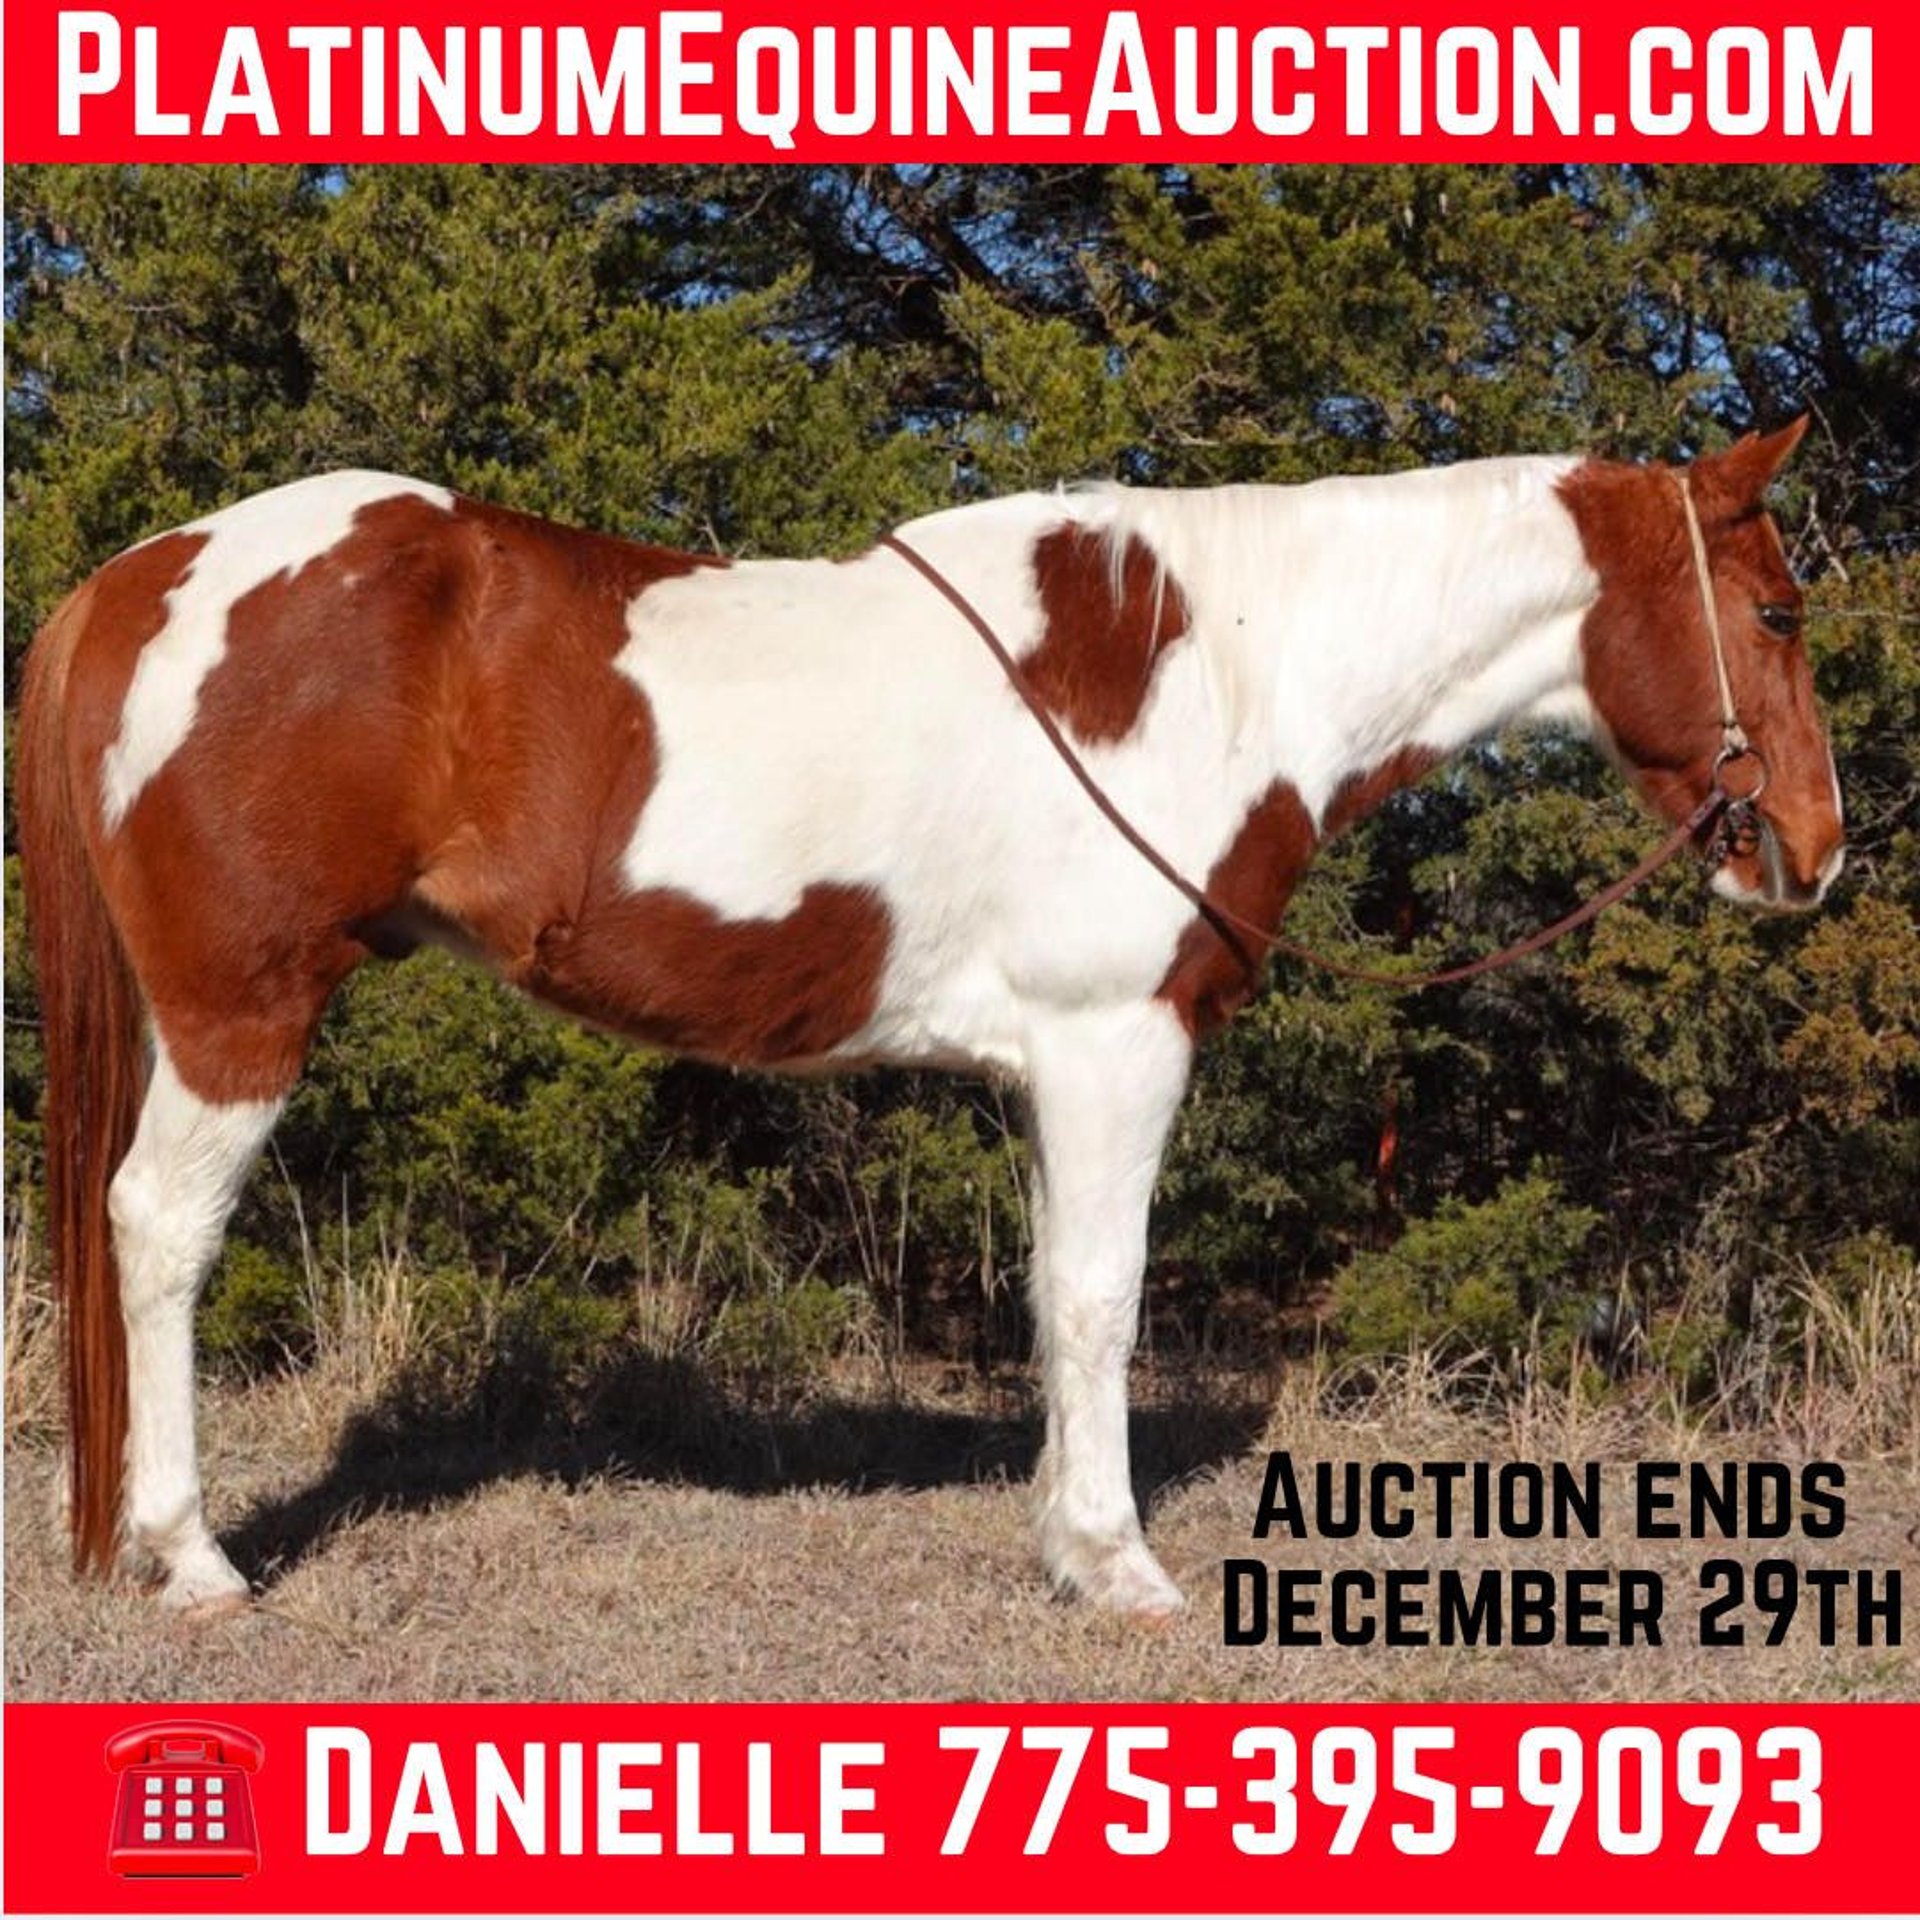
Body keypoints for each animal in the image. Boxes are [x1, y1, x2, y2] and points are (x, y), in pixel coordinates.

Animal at [16, 420, 1844, 1617]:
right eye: (1775, 612)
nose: (1817, 852)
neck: (1221, 666)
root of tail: (146, 575)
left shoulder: (1051, 1068)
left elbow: (1047, 1294)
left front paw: (1061, 1538)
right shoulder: (1121, 1043)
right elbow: (1103, 1299)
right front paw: (1119, 1569)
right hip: (237, 1011)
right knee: (156, 1231)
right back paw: (194, 1560)